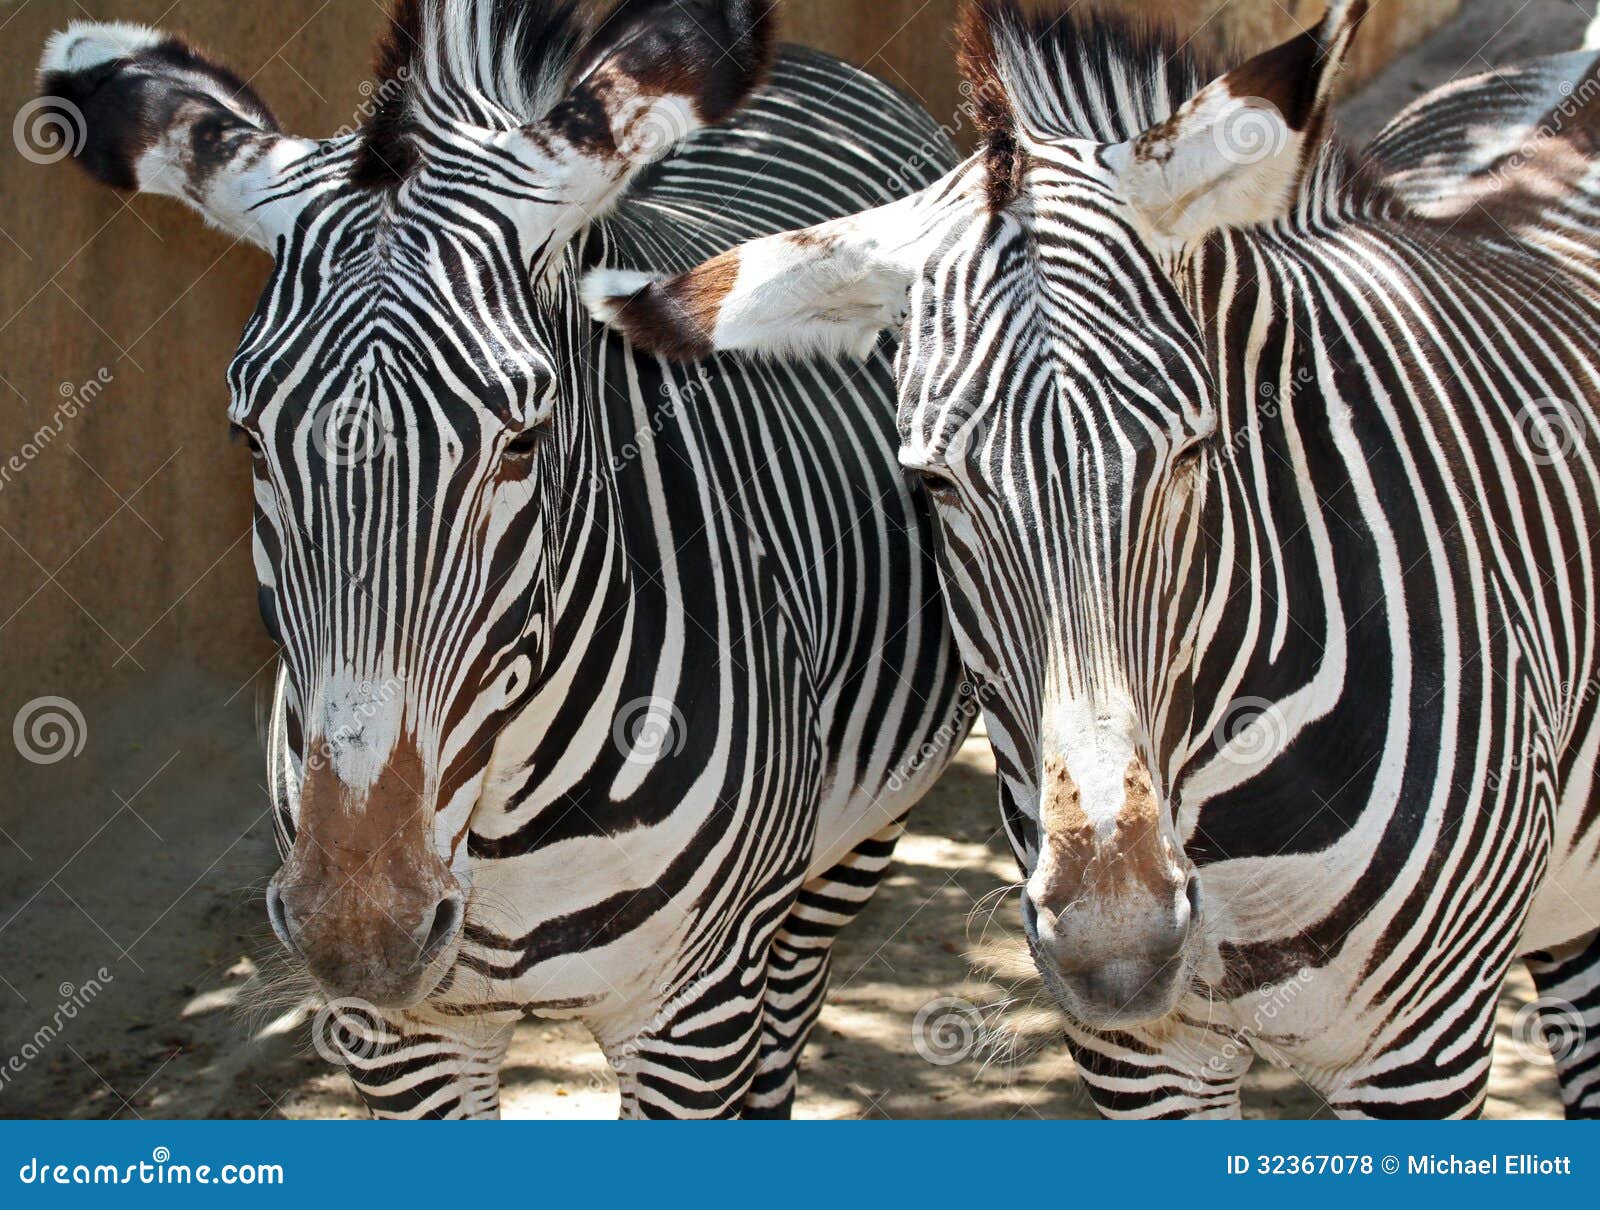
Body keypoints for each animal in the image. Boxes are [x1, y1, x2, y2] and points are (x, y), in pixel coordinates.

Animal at [38, 0, 970, 1118]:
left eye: (523, 439)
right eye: (249, 440)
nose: (360, 929)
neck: (503, 822)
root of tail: (816, 69)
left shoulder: (691, 1018)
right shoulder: (405, 1042)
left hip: (847, 853)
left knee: (788, 1023)